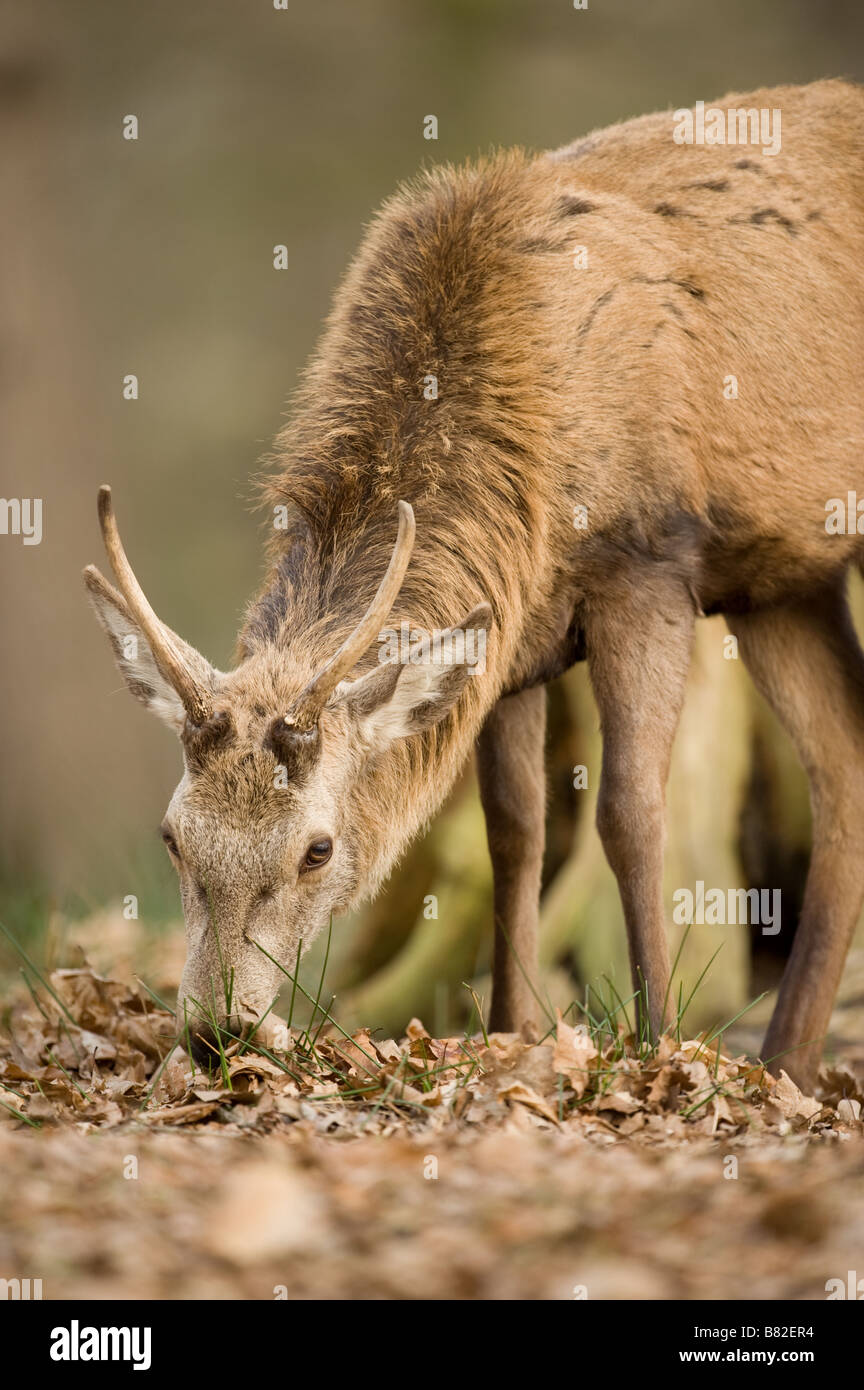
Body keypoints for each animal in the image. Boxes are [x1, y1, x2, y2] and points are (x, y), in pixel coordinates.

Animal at [85, 79, 864, 1092]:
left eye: (317, 849)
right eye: (172, 835)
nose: (218, 1032)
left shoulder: (650, 563)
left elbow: (628, 811)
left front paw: (654, 1044)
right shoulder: (512, 639)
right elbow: (514, 831)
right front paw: (511, 1033)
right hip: (784, 579)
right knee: (843, 762)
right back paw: (790, 1060)